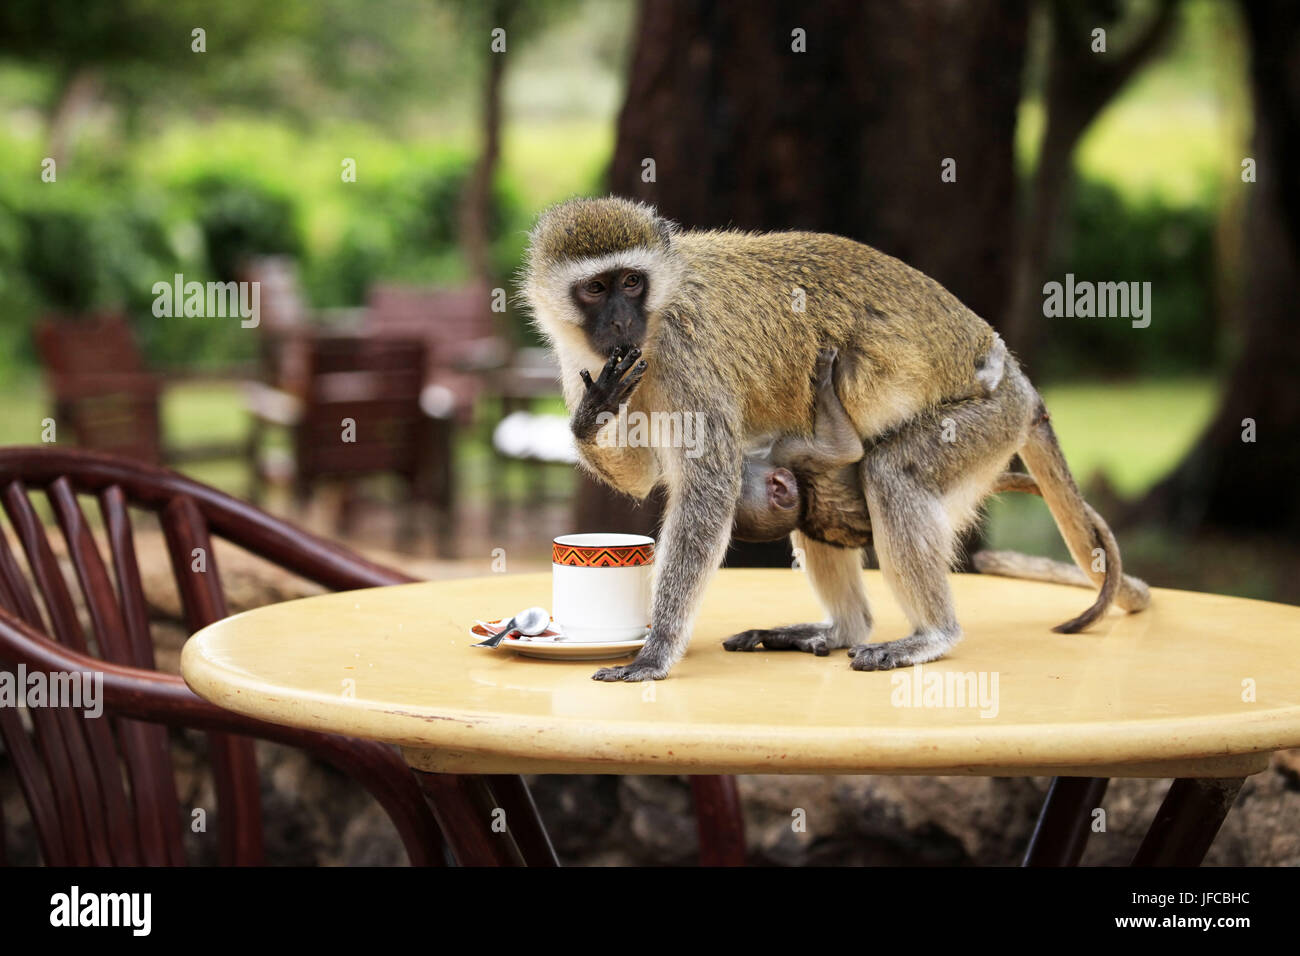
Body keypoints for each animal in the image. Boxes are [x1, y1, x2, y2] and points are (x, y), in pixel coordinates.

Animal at [520, 196, 1149, 681]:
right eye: (596, 289)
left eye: (631, 282)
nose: (619, 323)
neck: (657, 317)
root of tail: (1016, 378)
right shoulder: (584, 360)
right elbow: (642, 473)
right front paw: (596, 411)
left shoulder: (688, 356)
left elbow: (708, 488)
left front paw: (655, 653)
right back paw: (843, 630)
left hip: (987, 418)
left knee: (892, 474)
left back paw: (933, 635)